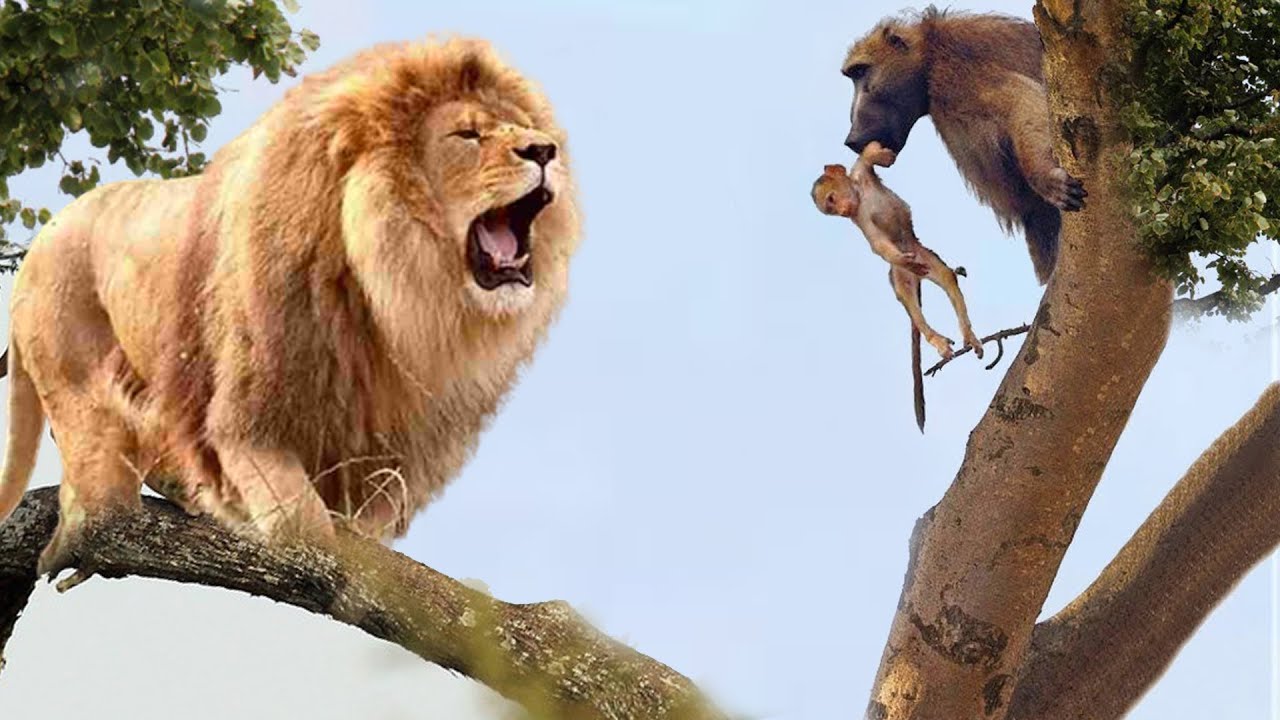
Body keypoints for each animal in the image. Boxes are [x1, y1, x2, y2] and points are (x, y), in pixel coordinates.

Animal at [0, 37, 581, 576]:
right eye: (467, 135)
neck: (396, 299)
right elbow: (302, 521)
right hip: (76, 375)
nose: (545, 151)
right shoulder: (247, 414)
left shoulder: (395, 438)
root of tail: (43, 237)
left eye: (522, 127)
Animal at [812, 141, 983, 431]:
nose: (843, 211)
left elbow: (867, 159)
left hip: (922, 253)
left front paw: (879, 153)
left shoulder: (861, 172)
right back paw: (934, 337)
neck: (859, 193)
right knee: (909, 298)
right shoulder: (862, 220)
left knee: (946, 278)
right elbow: (879, 245)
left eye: (831, 200)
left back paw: (968, 333)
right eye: (830, 210)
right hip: (901, 274)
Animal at [841, 6, 1087, 285]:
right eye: (854, 75)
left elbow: (1023, 101)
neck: (930, 53)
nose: (852, 139)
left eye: (860, 71)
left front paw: (1047, 178)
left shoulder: (957, 75)